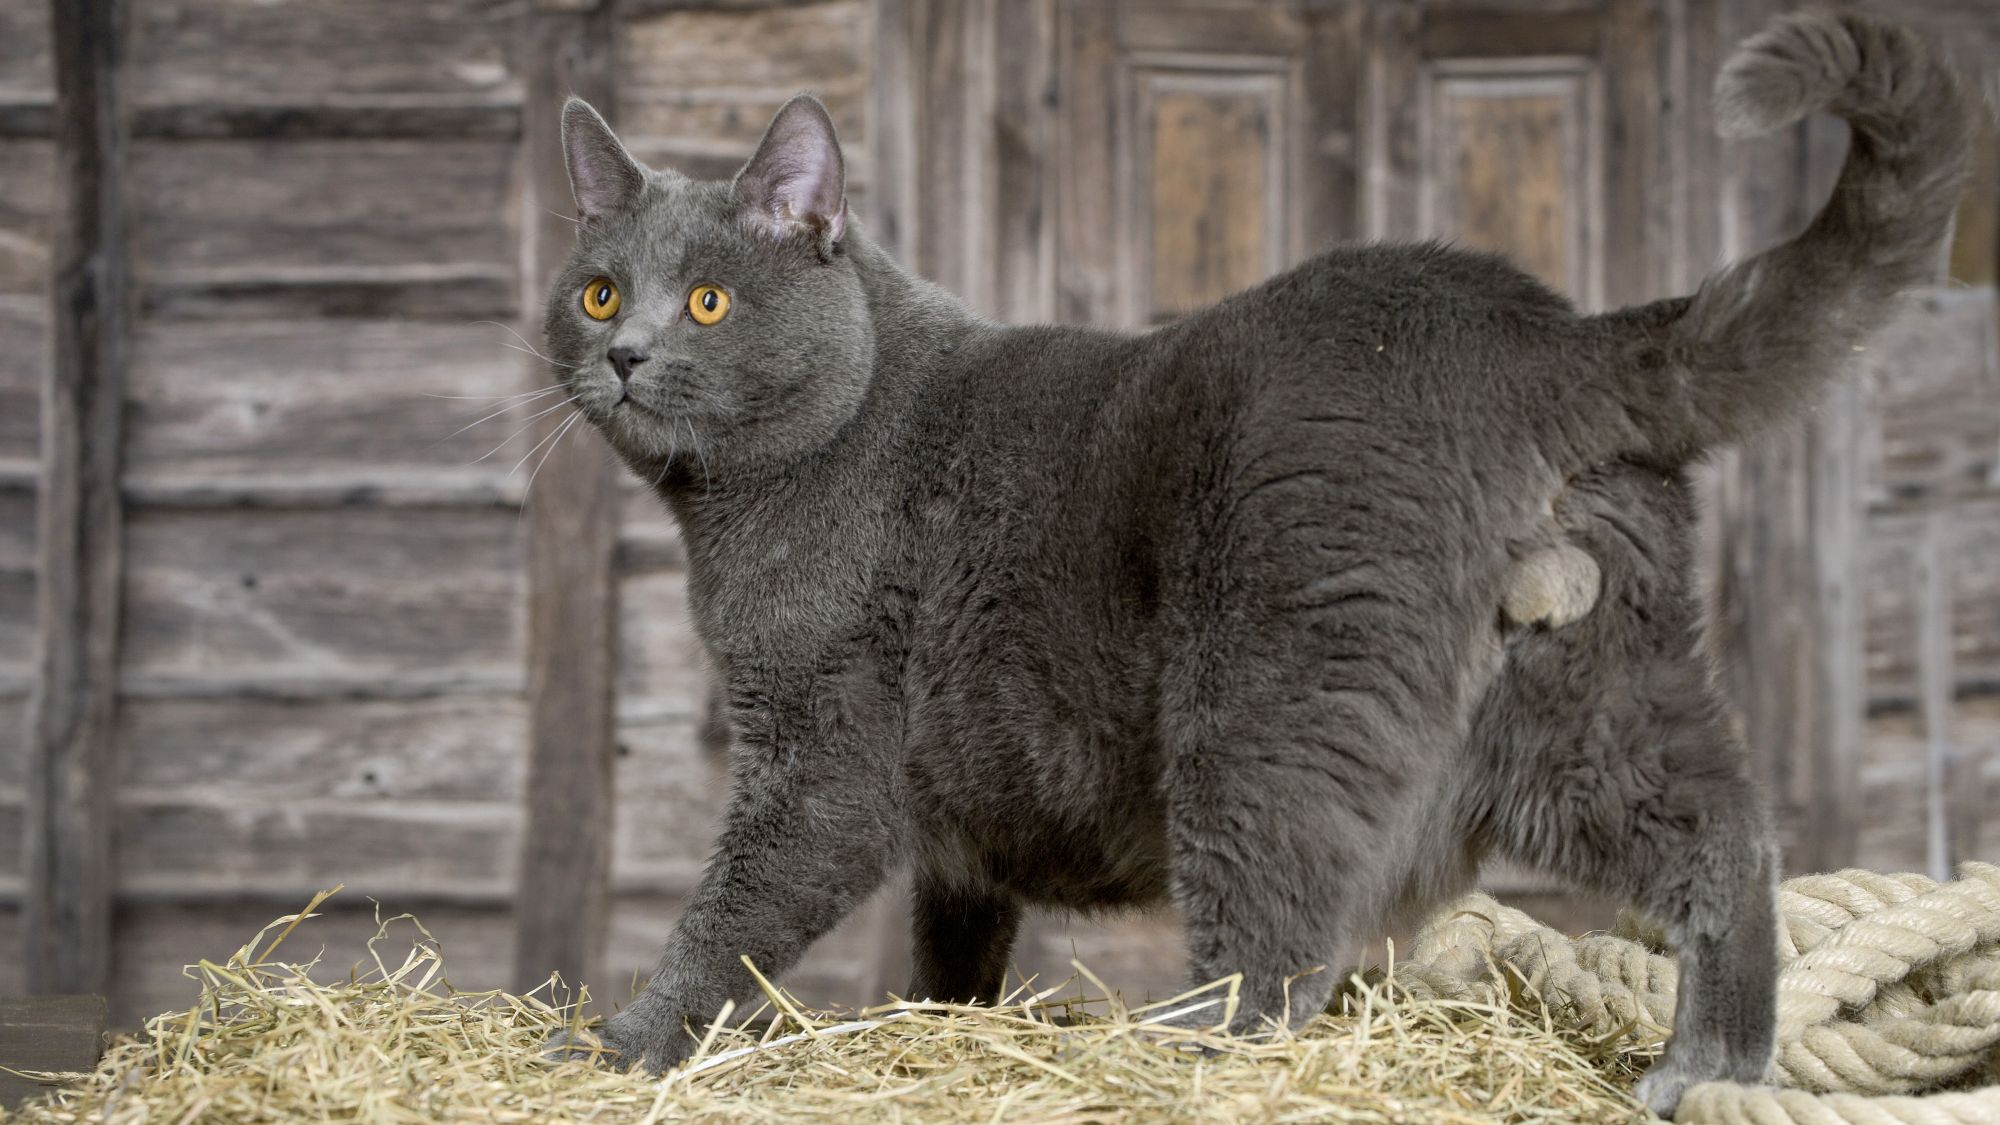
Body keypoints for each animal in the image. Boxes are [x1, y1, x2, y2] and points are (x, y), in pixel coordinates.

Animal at [536, 10, 1968, 1112]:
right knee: (1721, 832)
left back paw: (1166, 1060)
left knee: (1275, 944)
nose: (624, 353)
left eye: (709, 301)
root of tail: (1541, 333)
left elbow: (735, 908)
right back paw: (1709, 1064)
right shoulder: (953, 814)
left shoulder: (825, 749)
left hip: (1270, 684)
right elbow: (953, 928)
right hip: (1588, 680)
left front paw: (619, 1042)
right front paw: (941, 1024)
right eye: (597, 291)